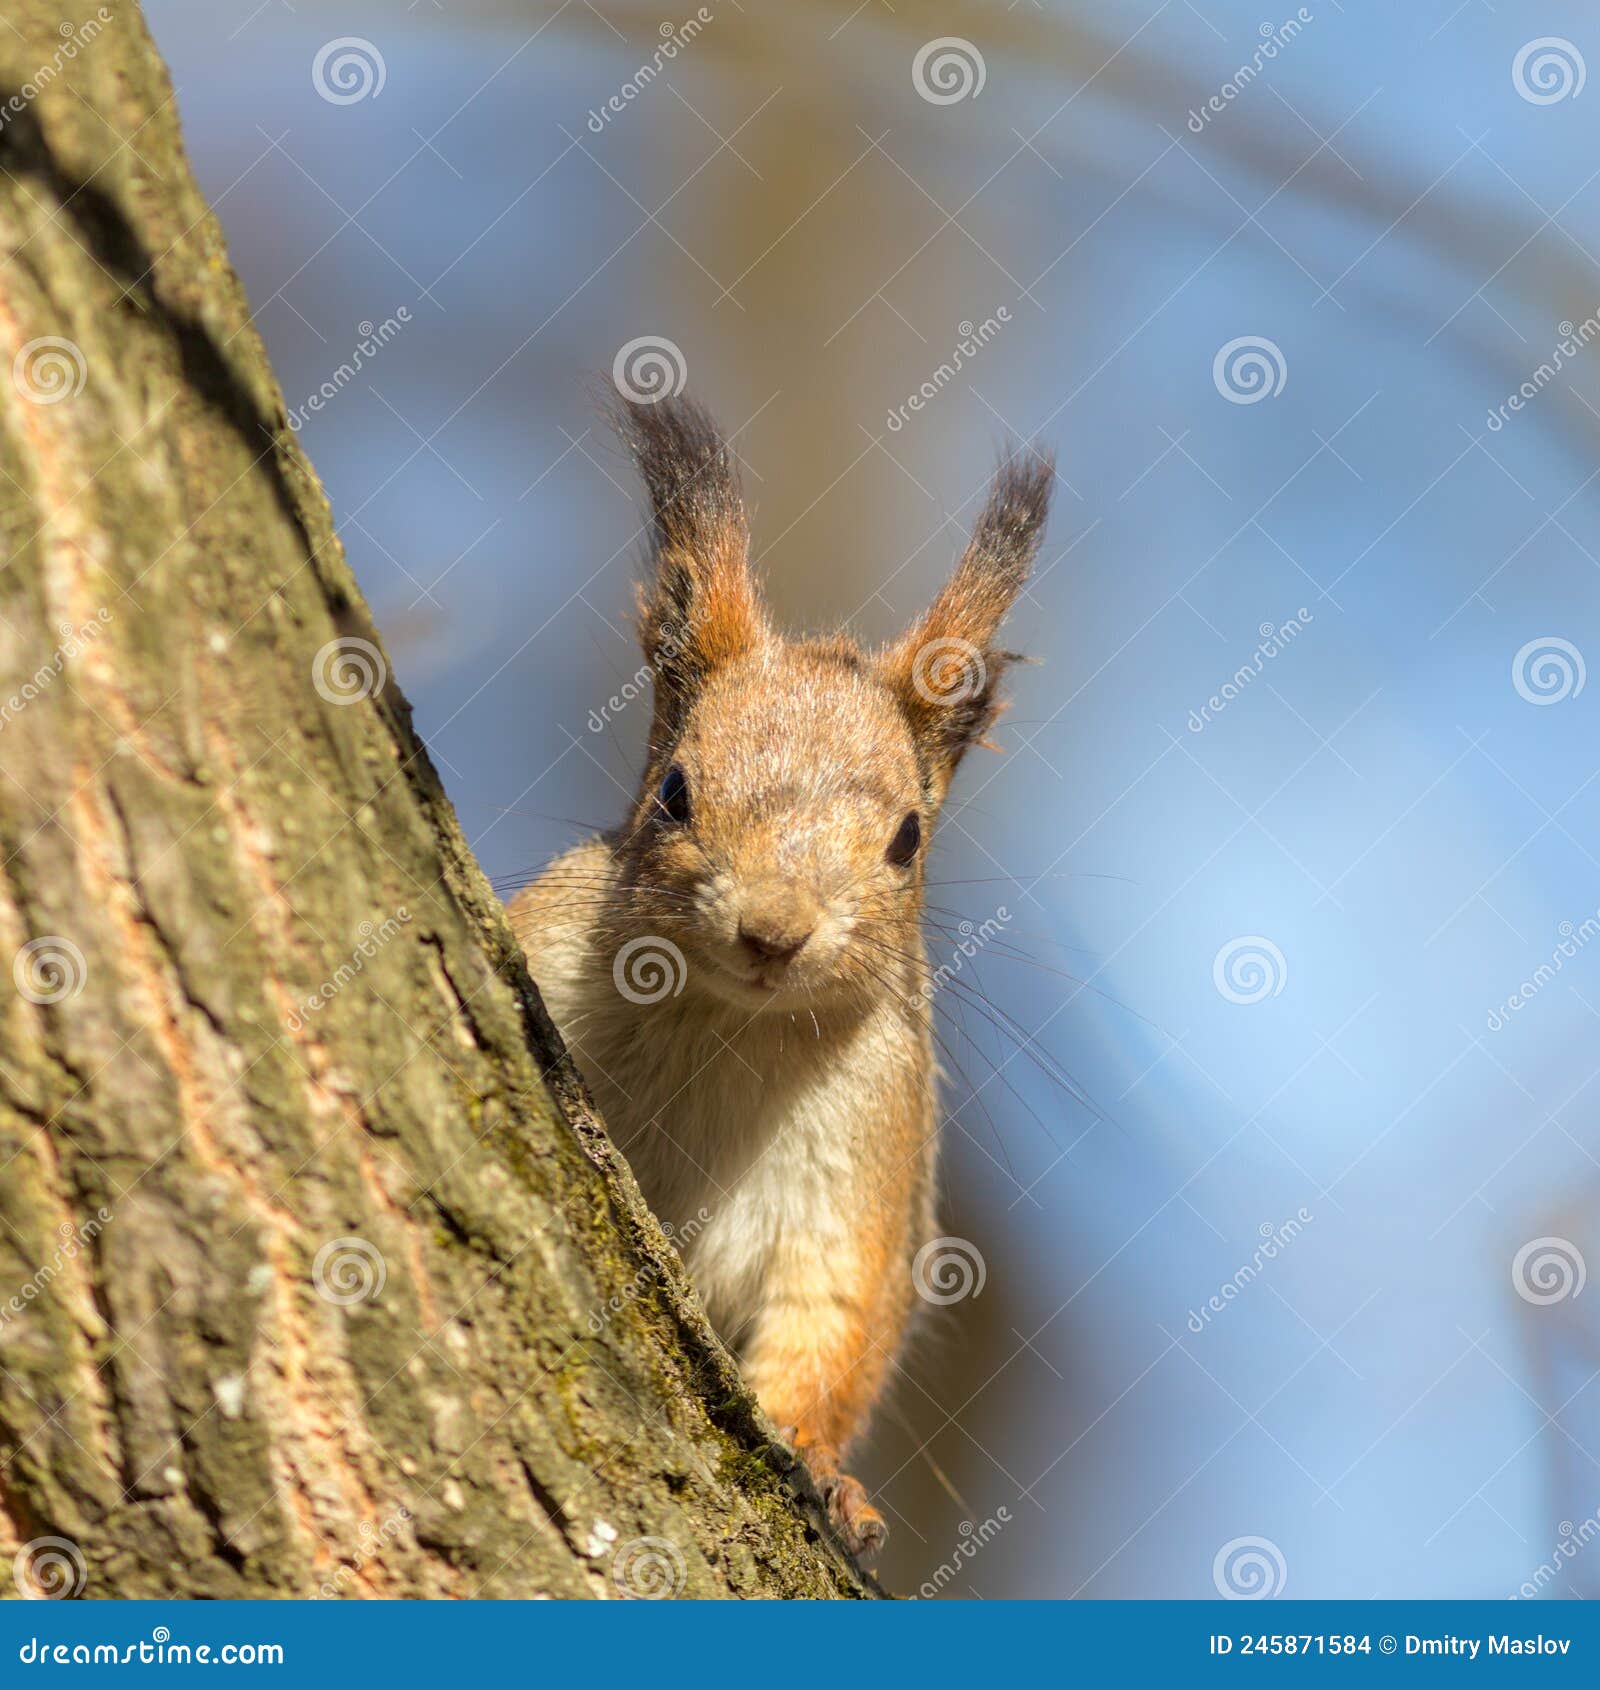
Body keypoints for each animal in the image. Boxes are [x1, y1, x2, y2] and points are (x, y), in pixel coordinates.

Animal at [507, 395, 1052, 1560]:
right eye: (673, 790)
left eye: (906, 839)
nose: (773, 932)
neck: (732, 1021)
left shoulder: (872, 1138)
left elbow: (835, 1315)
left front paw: (823, 1470)